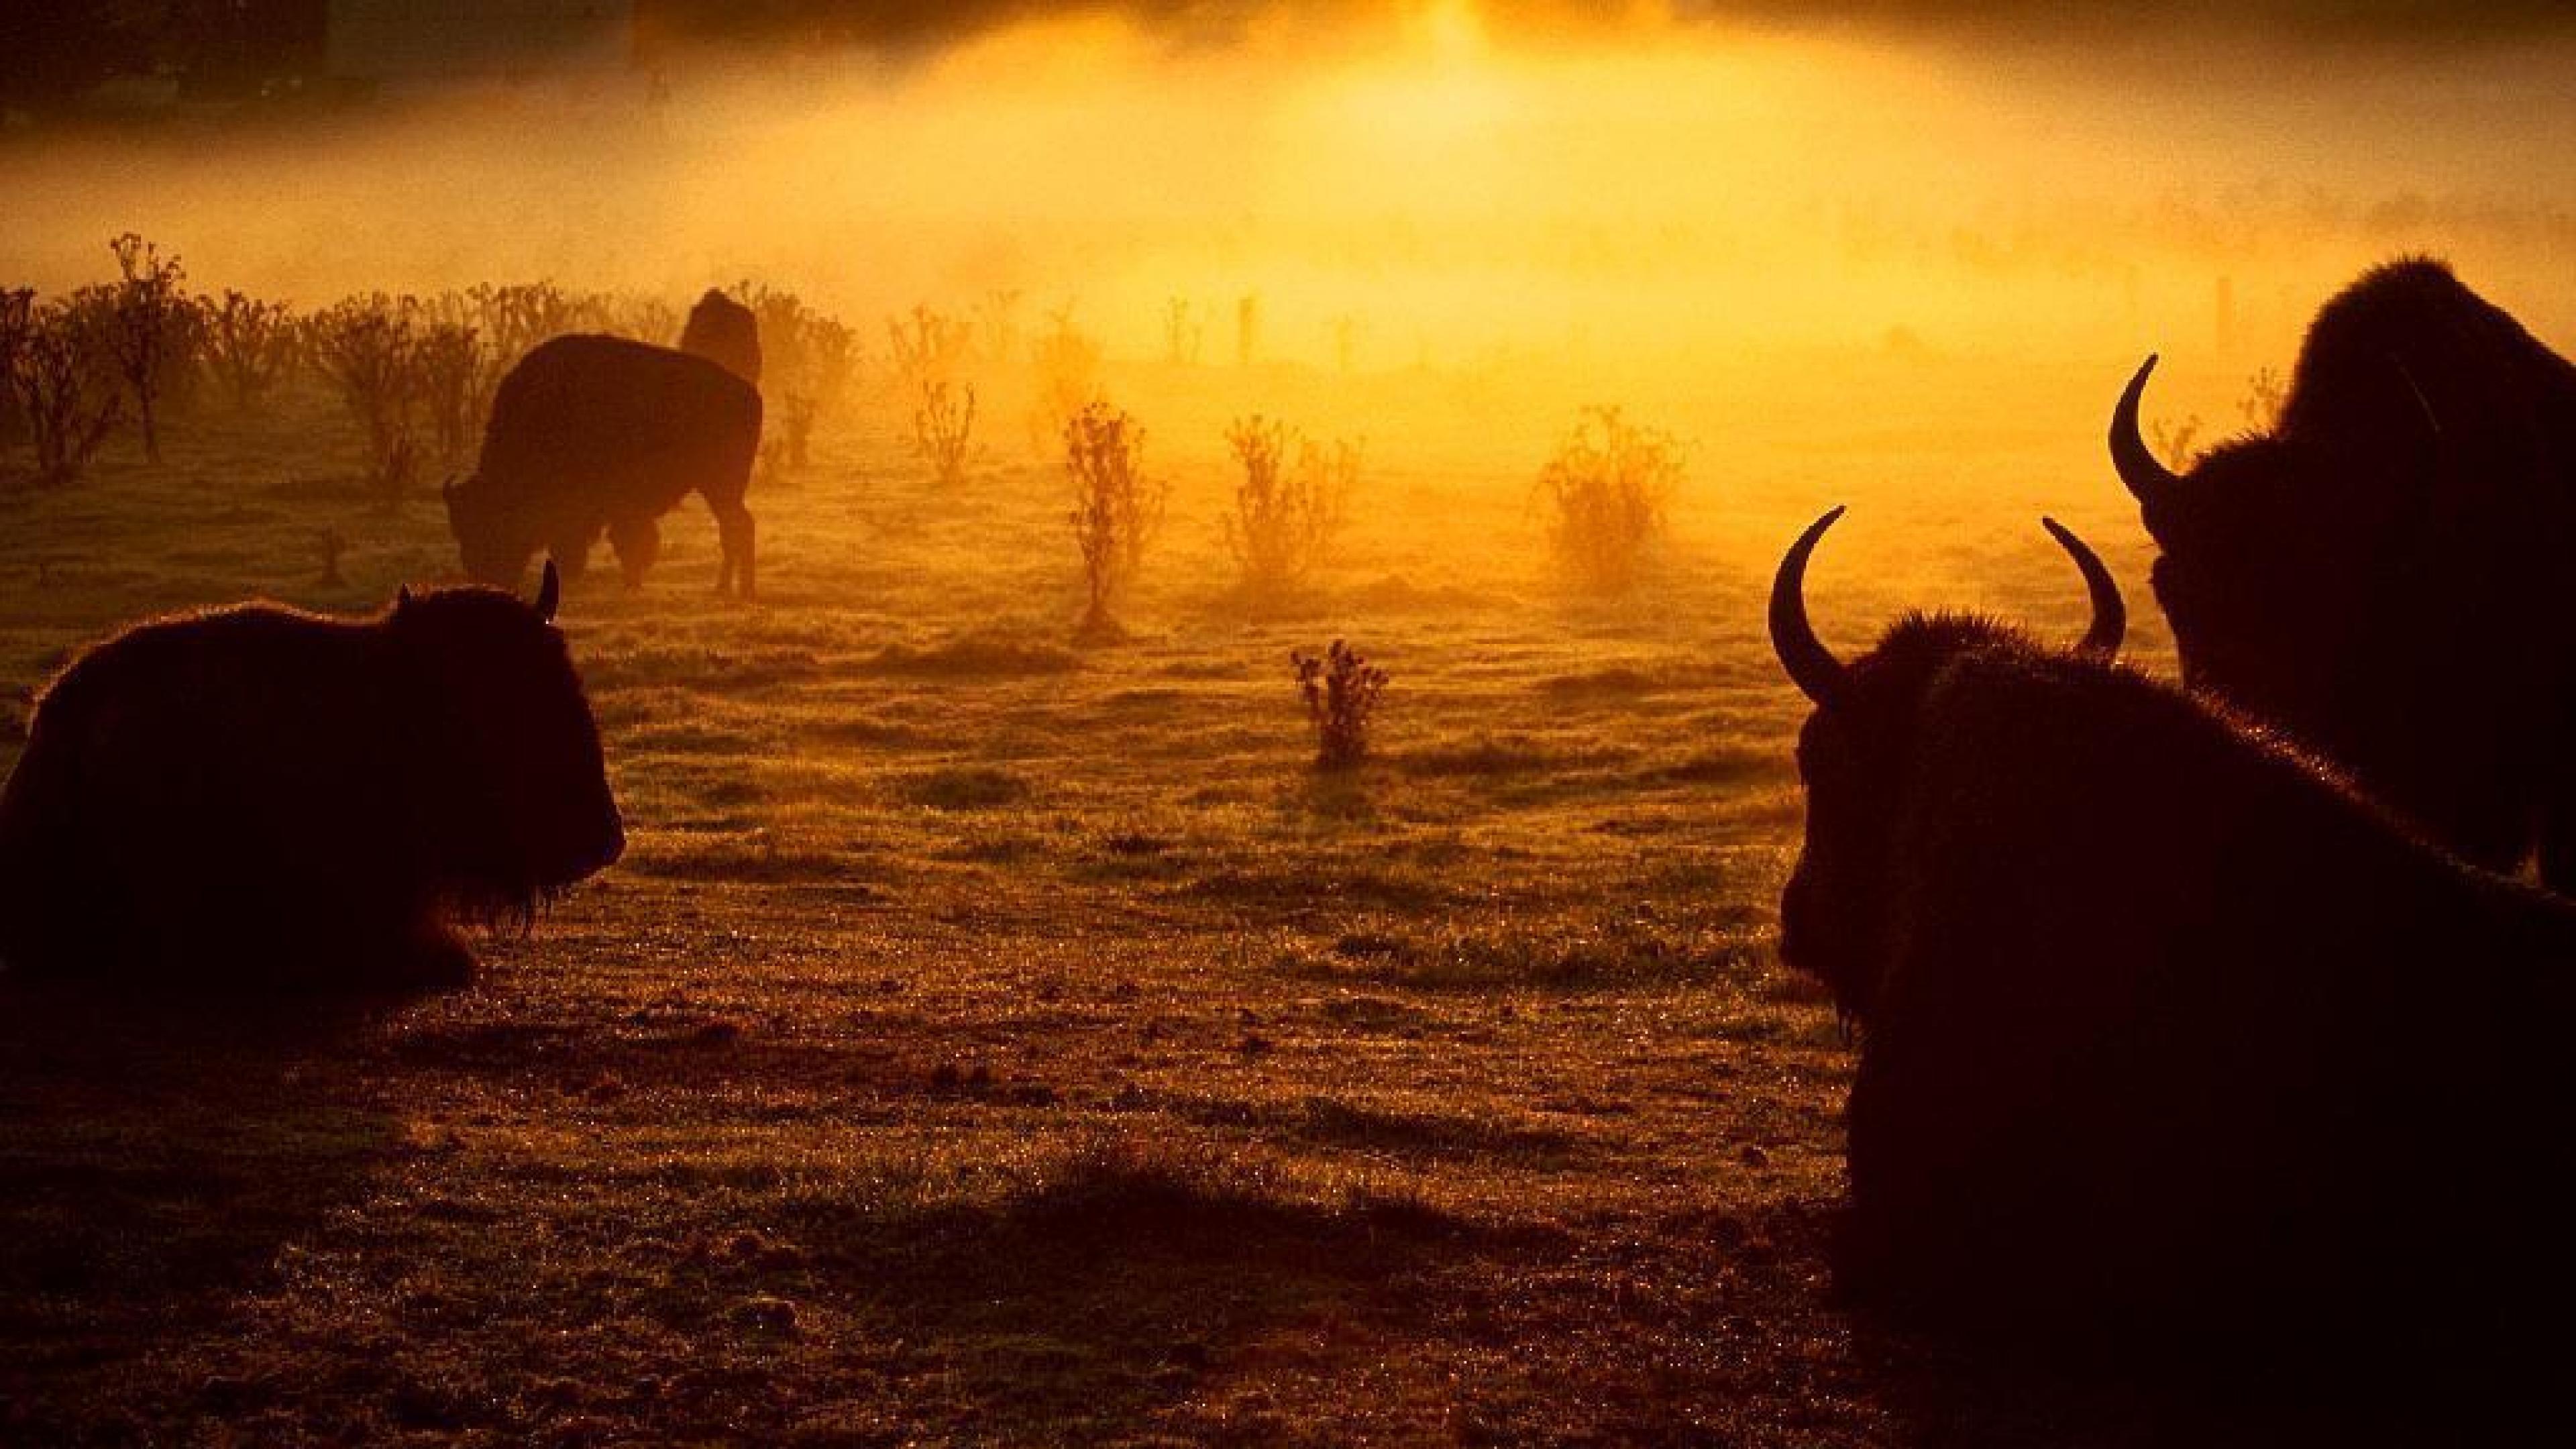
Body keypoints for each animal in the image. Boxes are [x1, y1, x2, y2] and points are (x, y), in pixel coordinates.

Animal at [446, 334, 761, 598]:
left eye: (486, 523)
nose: (484, 575)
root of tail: (750, 395)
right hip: (720, 489)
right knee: (737, 526)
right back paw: (731, 588)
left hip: (720, 486)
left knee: (737, 527)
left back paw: (733, 589)